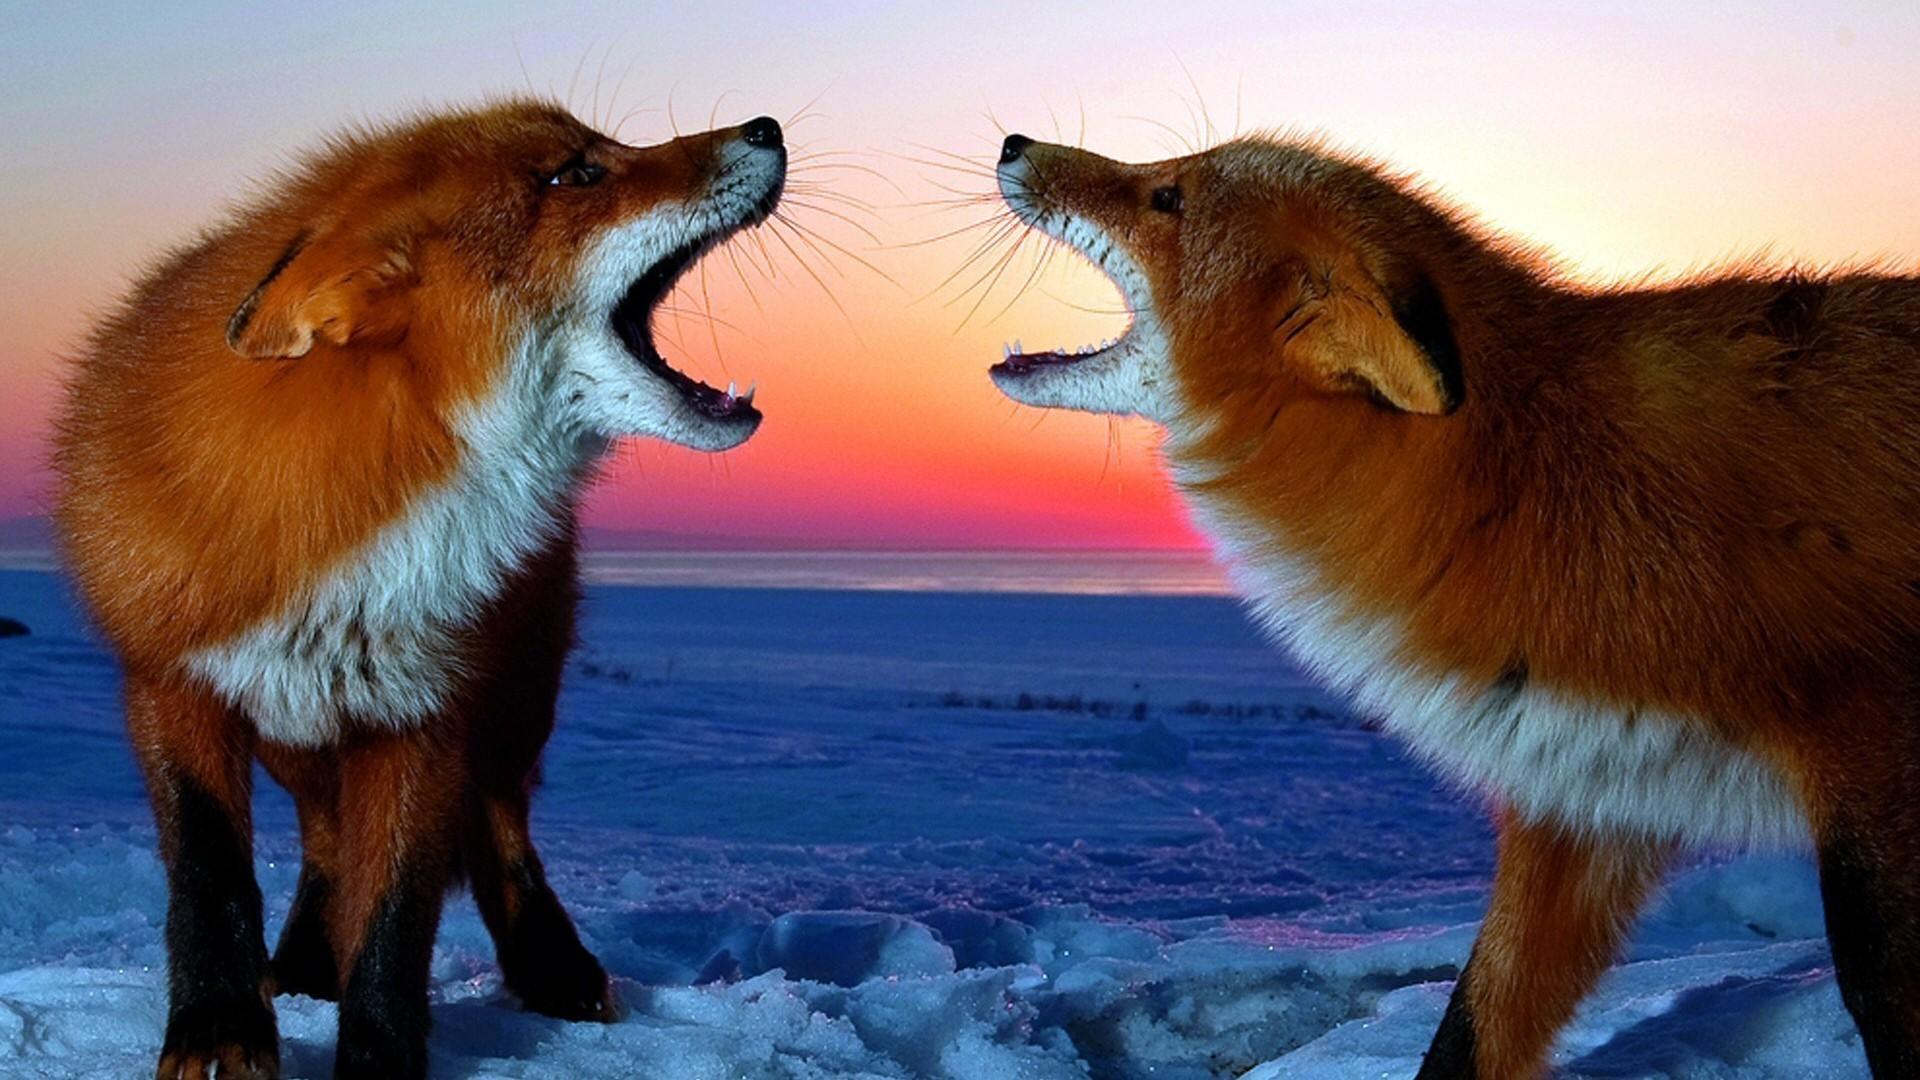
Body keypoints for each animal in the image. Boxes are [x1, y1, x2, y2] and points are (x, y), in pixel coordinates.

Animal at [51, 99, 786, 1079]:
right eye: (577, 174)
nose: (767, 126)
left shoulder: (424, 709)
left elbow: (396, 918)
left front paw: (378, 1057)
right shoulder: (172, 683)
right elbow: (211, 878)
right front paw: (218, 1027)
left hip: (514, 702)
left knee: (501, 827)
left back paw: (551, 965)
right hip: (297, 728)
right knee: (326, 838)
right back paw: (304, 963)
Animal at [987, 131, 1920, 1077]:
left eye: (1167, 197)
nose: (1013, 144)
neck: (1530, 489)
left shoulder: (1870, 747)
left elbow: (1884, 990)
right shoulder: (1589, 791)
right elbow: (1474, 1024)